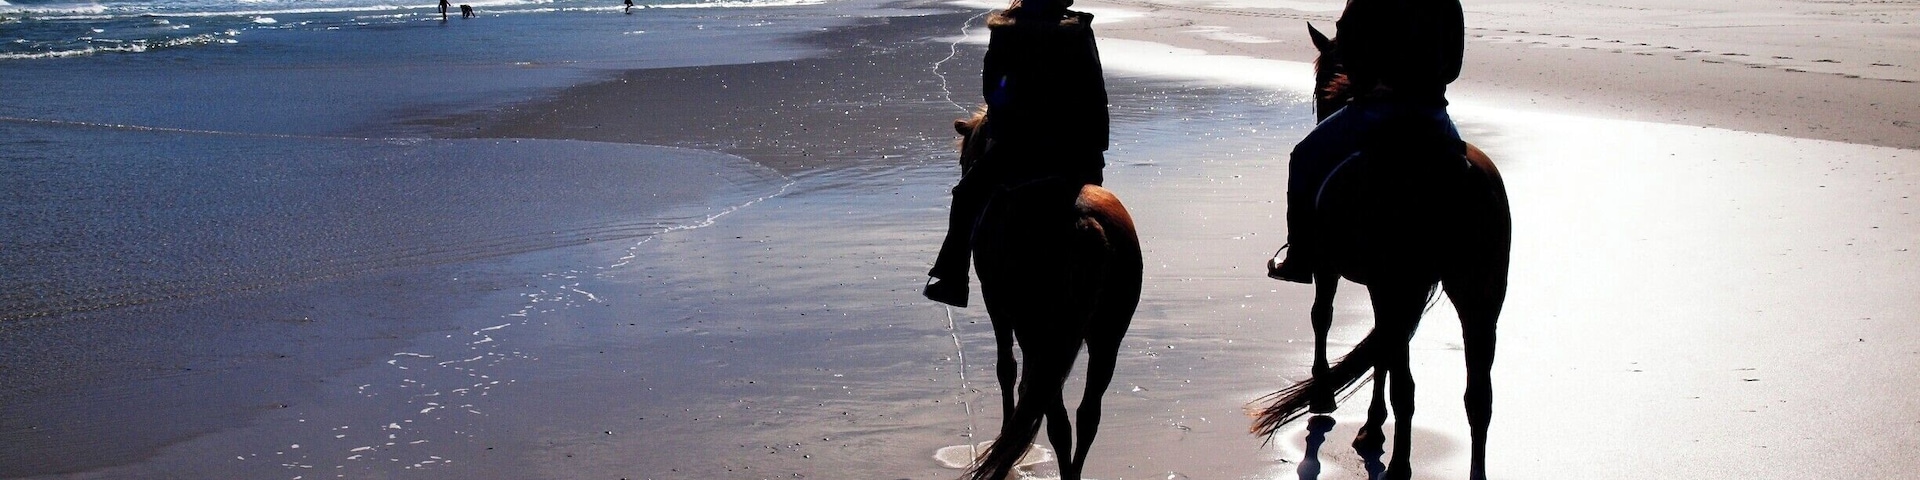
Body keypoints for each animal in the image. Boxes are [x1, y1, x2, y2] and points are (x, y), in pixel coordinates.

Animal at [953, 109, 1143, 480]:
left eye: (964, 157)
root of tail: (1084, 222)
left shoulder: (996, 305)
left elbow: (1007, 369)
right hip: (1107, 336)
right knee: (1087, 415)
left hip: (1043, 332)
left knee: (1059, 420)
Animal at [1248, 23, 1511, 480]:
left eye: (1318, 89)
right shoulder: (1387, 292)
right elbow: (1381, 353)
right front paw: (1371, 426)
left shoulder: (1335, 270)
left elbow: (1323, 317)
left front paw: (1325, 397)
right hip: (1480, 297)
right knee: (1478, 397)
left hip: (1400, 285)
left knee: (1408, 386)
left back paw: (1401, 465)